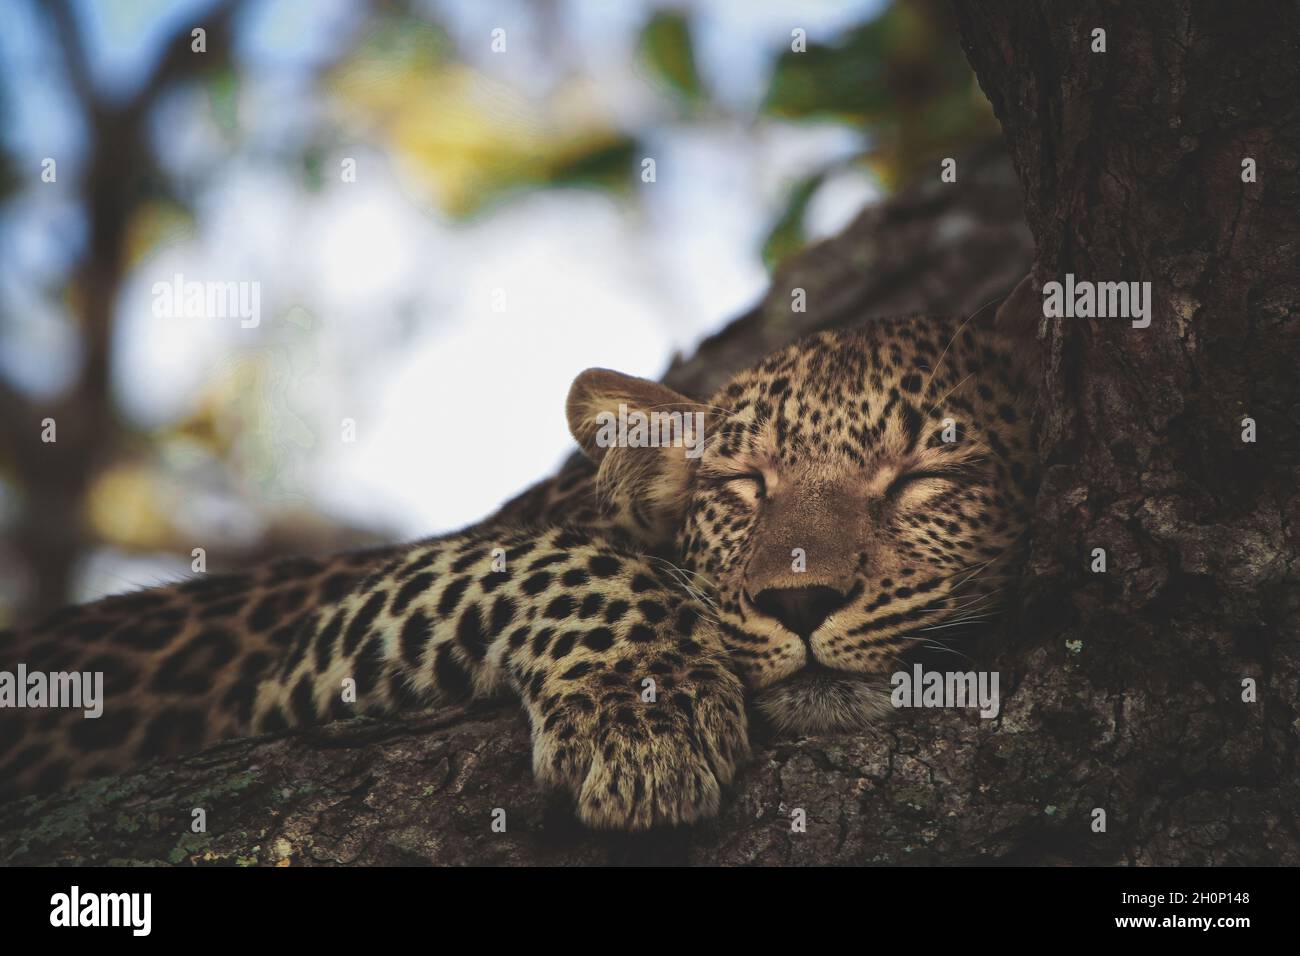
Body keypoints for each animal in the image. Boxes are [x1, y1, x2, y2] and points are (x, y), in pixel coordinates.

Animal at [0, 282, 1040, 830]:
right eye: (744, 486)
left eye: (924, 476)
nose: (801, 602)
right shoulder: (325, 644)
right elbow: (560, 561)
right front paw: (646, 726)